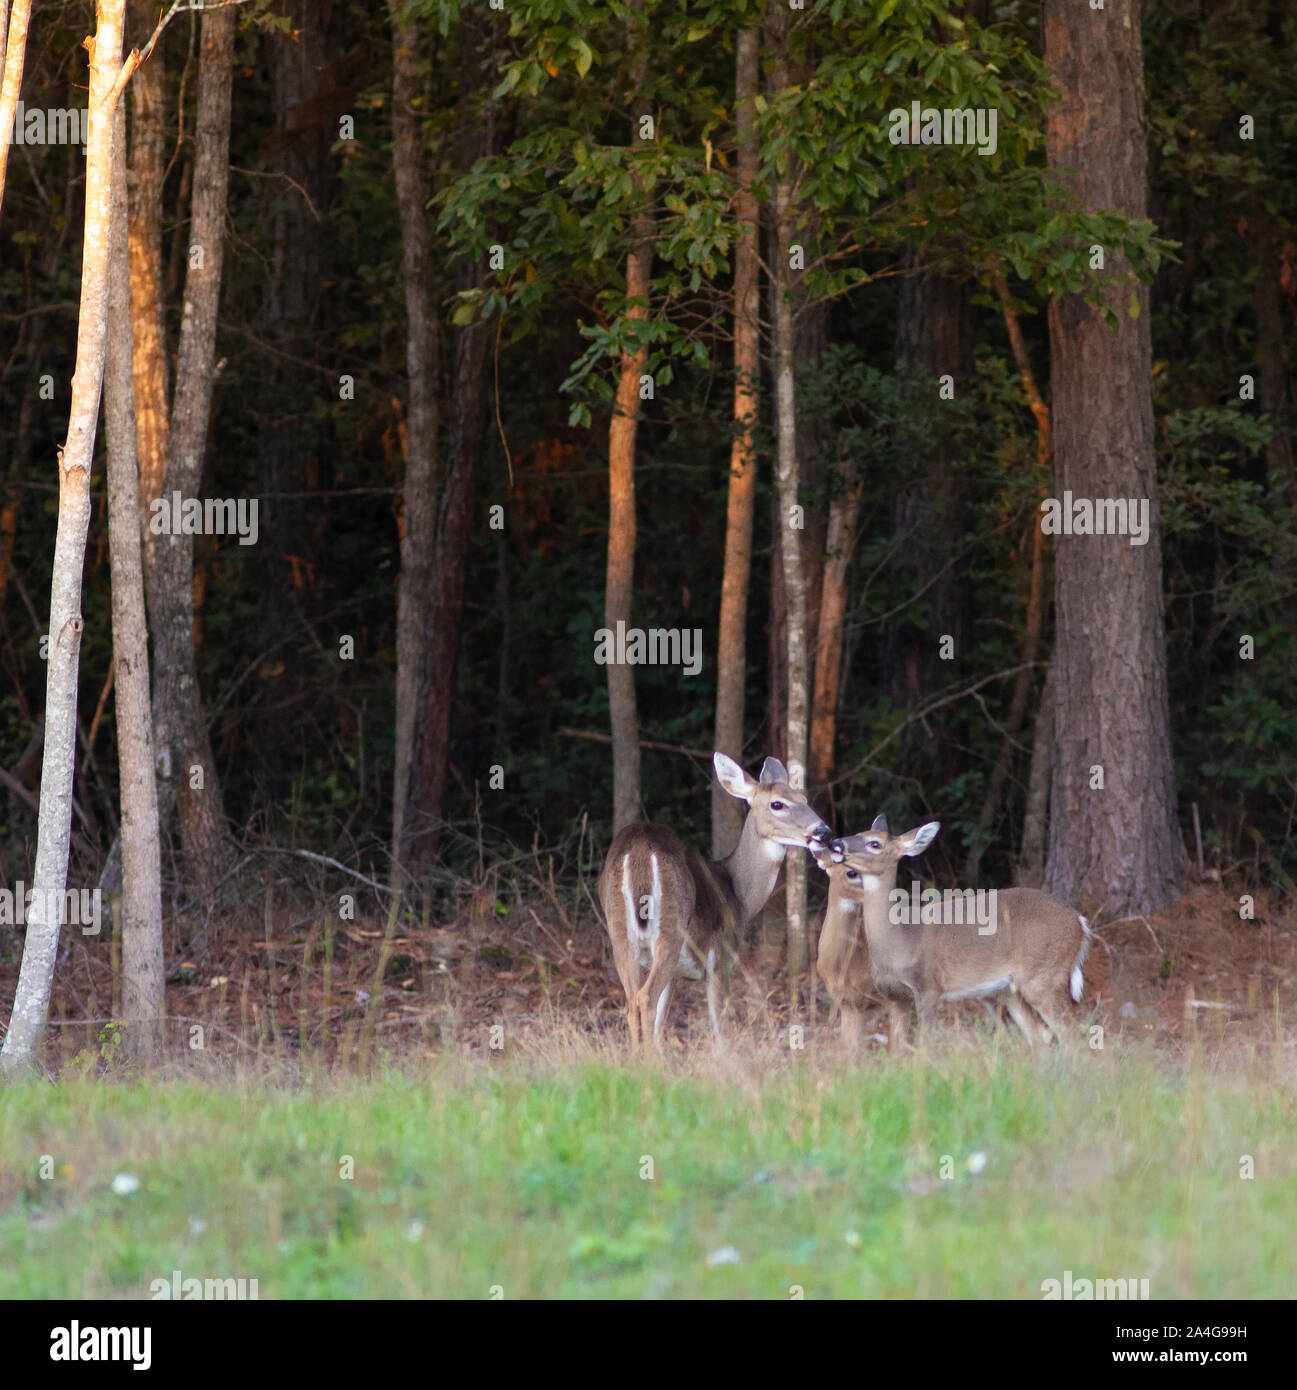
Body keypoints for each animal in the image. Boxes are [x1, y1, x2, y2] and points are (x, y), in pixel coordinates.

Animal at [599, 753, 831, 1050]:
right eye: (777, 804)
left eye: (803, 798)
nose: (823, 831)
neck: (739, 893)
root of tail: (640, 849)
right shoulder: (721, 958)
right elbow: (720, 1027)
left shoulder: (678, 971)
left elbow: (661, 1024)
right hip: (670, 931)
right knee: (644, 998)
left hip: (620, 933)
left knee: (632, 1000)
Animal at [813, 816, 1091, 1053]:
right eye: (859, 832)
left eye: (875, 843)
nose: (836, 843)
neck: (899, 940)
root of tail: (1080, 922)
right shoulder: (896, 998)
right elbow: (897, 1051)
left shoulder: (928, 987)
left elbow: (925, 1046)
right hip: (1009, 989)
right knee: (1041, 1041)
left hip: (1045, 975)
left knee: (1072, 1037)